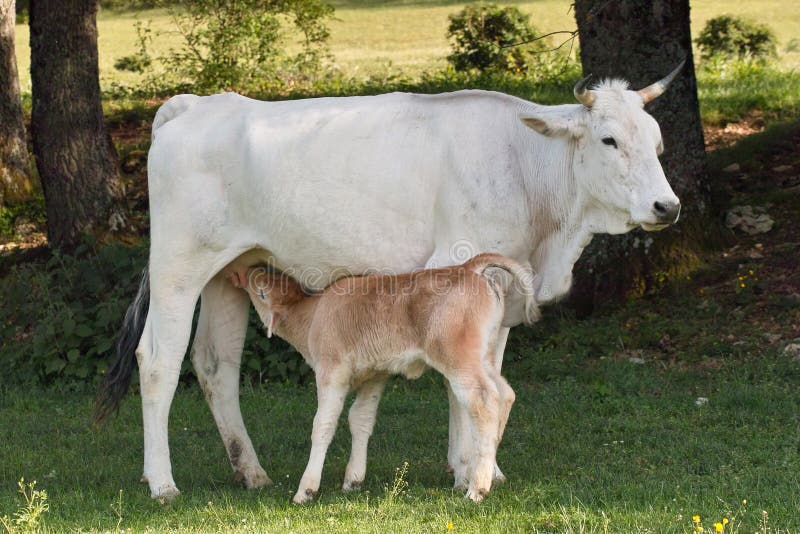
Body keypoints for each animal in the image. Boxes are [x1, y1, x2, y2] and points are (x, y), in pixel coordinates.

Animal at [96, 61, 684, 502]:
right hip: (178, 268)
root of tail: (196, 104)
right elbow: (461, 383)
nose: (667, 206)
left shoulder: (499, 299)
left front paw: (483, 467)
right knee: (159, 361)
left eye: (657, 143)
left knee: (216, 366)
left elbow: (487, 373)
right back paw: (162, 483)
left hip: (228, 273)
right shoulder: (458, 263)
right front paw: (468, 468)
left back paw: (253, 472)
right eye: (609, 140)